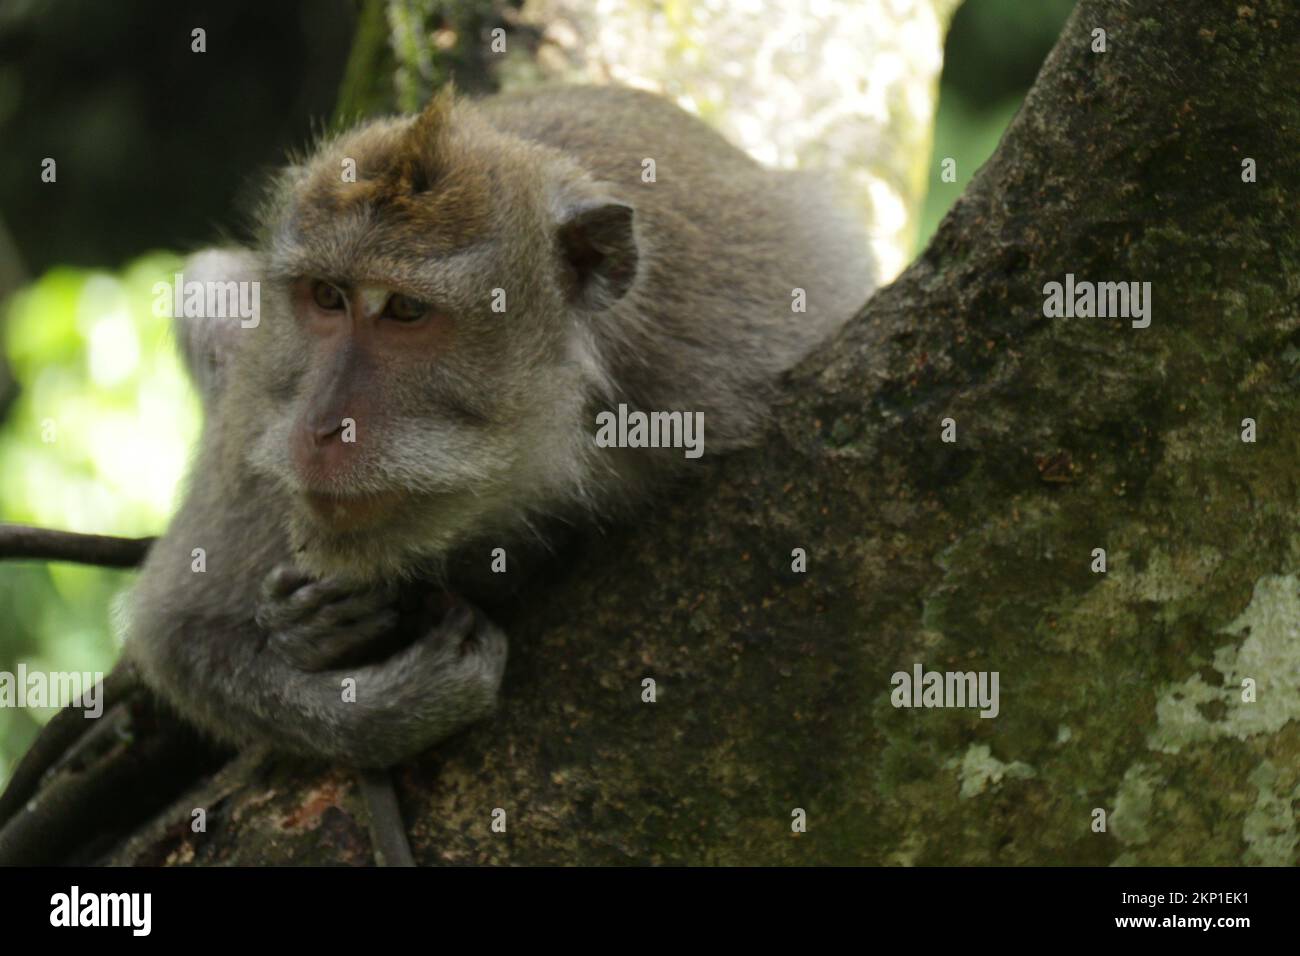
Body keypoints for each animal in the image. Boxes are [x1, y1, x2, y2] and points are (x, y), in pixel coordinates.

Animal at [121, 83, 874, 780]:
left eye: (405, 310)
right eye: (327, 297)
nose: (323, 427)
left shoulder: (718, 361)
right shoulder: (259, 415)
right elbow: (176, 631)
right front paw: (377, 704)